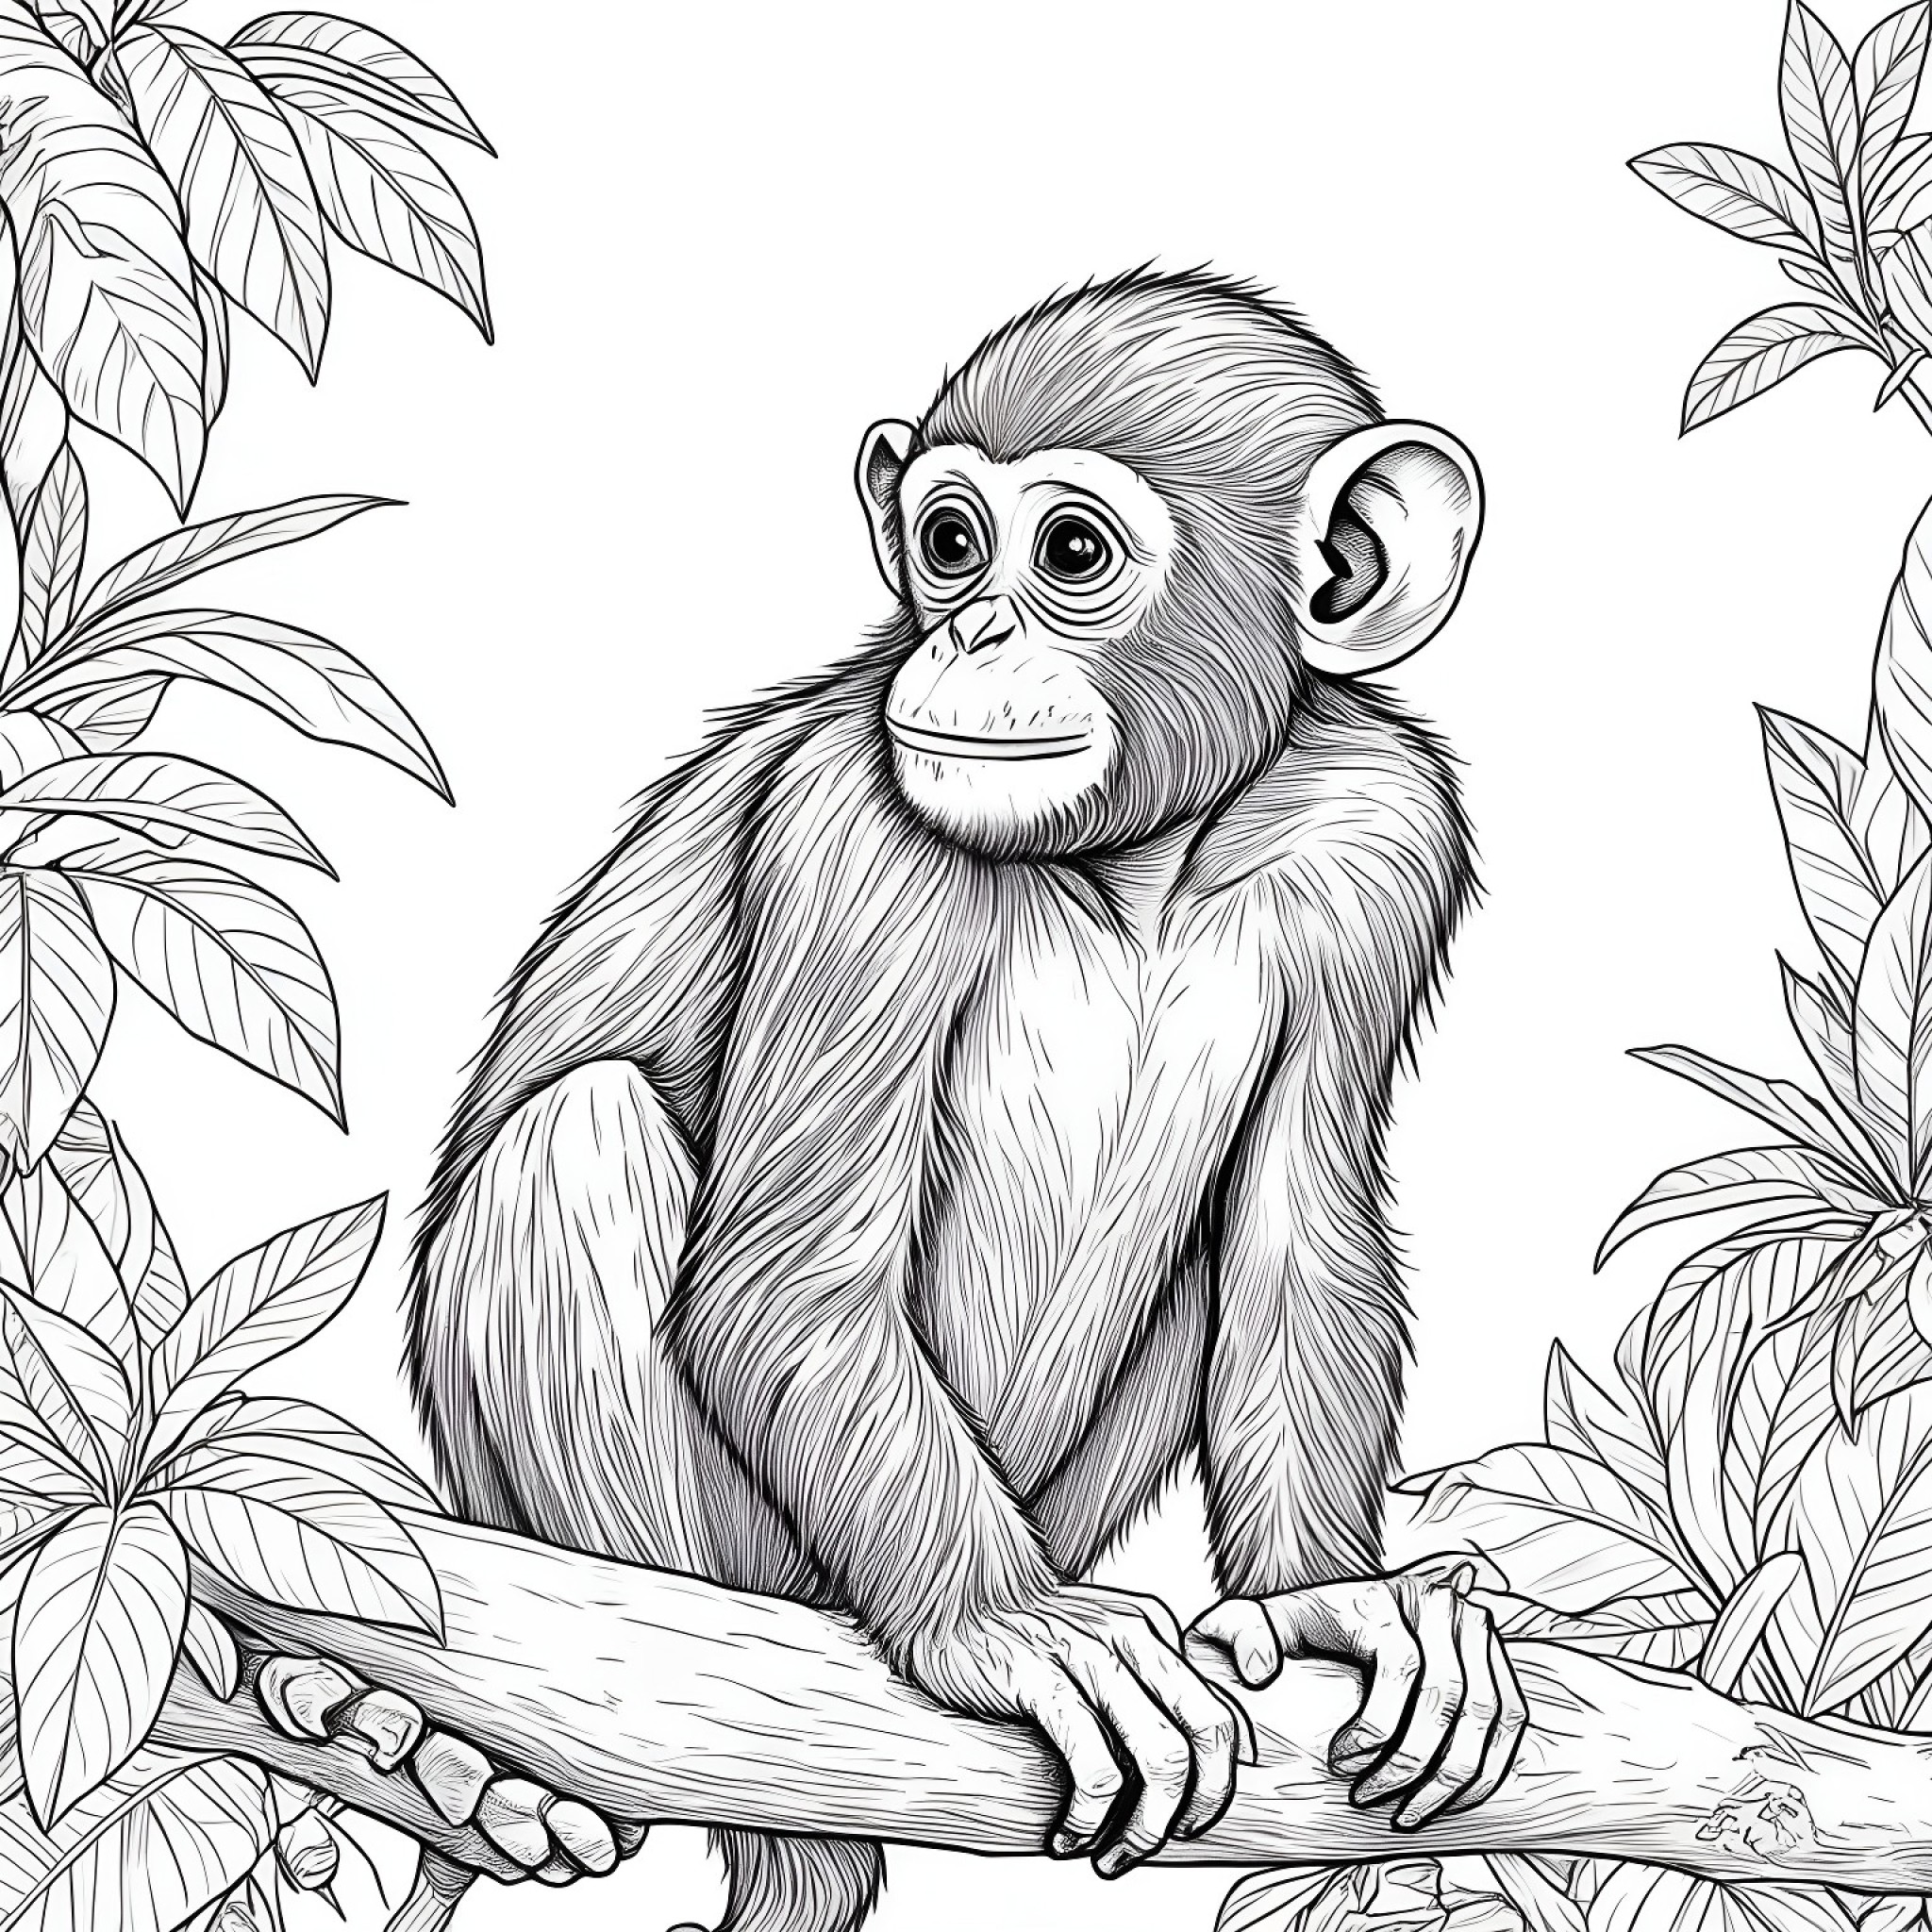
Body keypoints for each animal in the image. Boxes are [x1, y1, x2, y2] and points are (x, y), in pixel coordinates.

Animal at [371, 268, 1522, 1931]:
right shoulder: (856, 835)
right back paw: (734, 1811)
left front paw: (1326, 1600)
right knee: (572, 1143)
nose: (968, 632)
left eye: (1072, 553)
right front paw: (1001, 1625)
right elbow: (785, 1278)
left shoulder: (1382, 833)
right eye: (951, 540)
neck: (1137, 858)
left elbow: (1296, 1241)